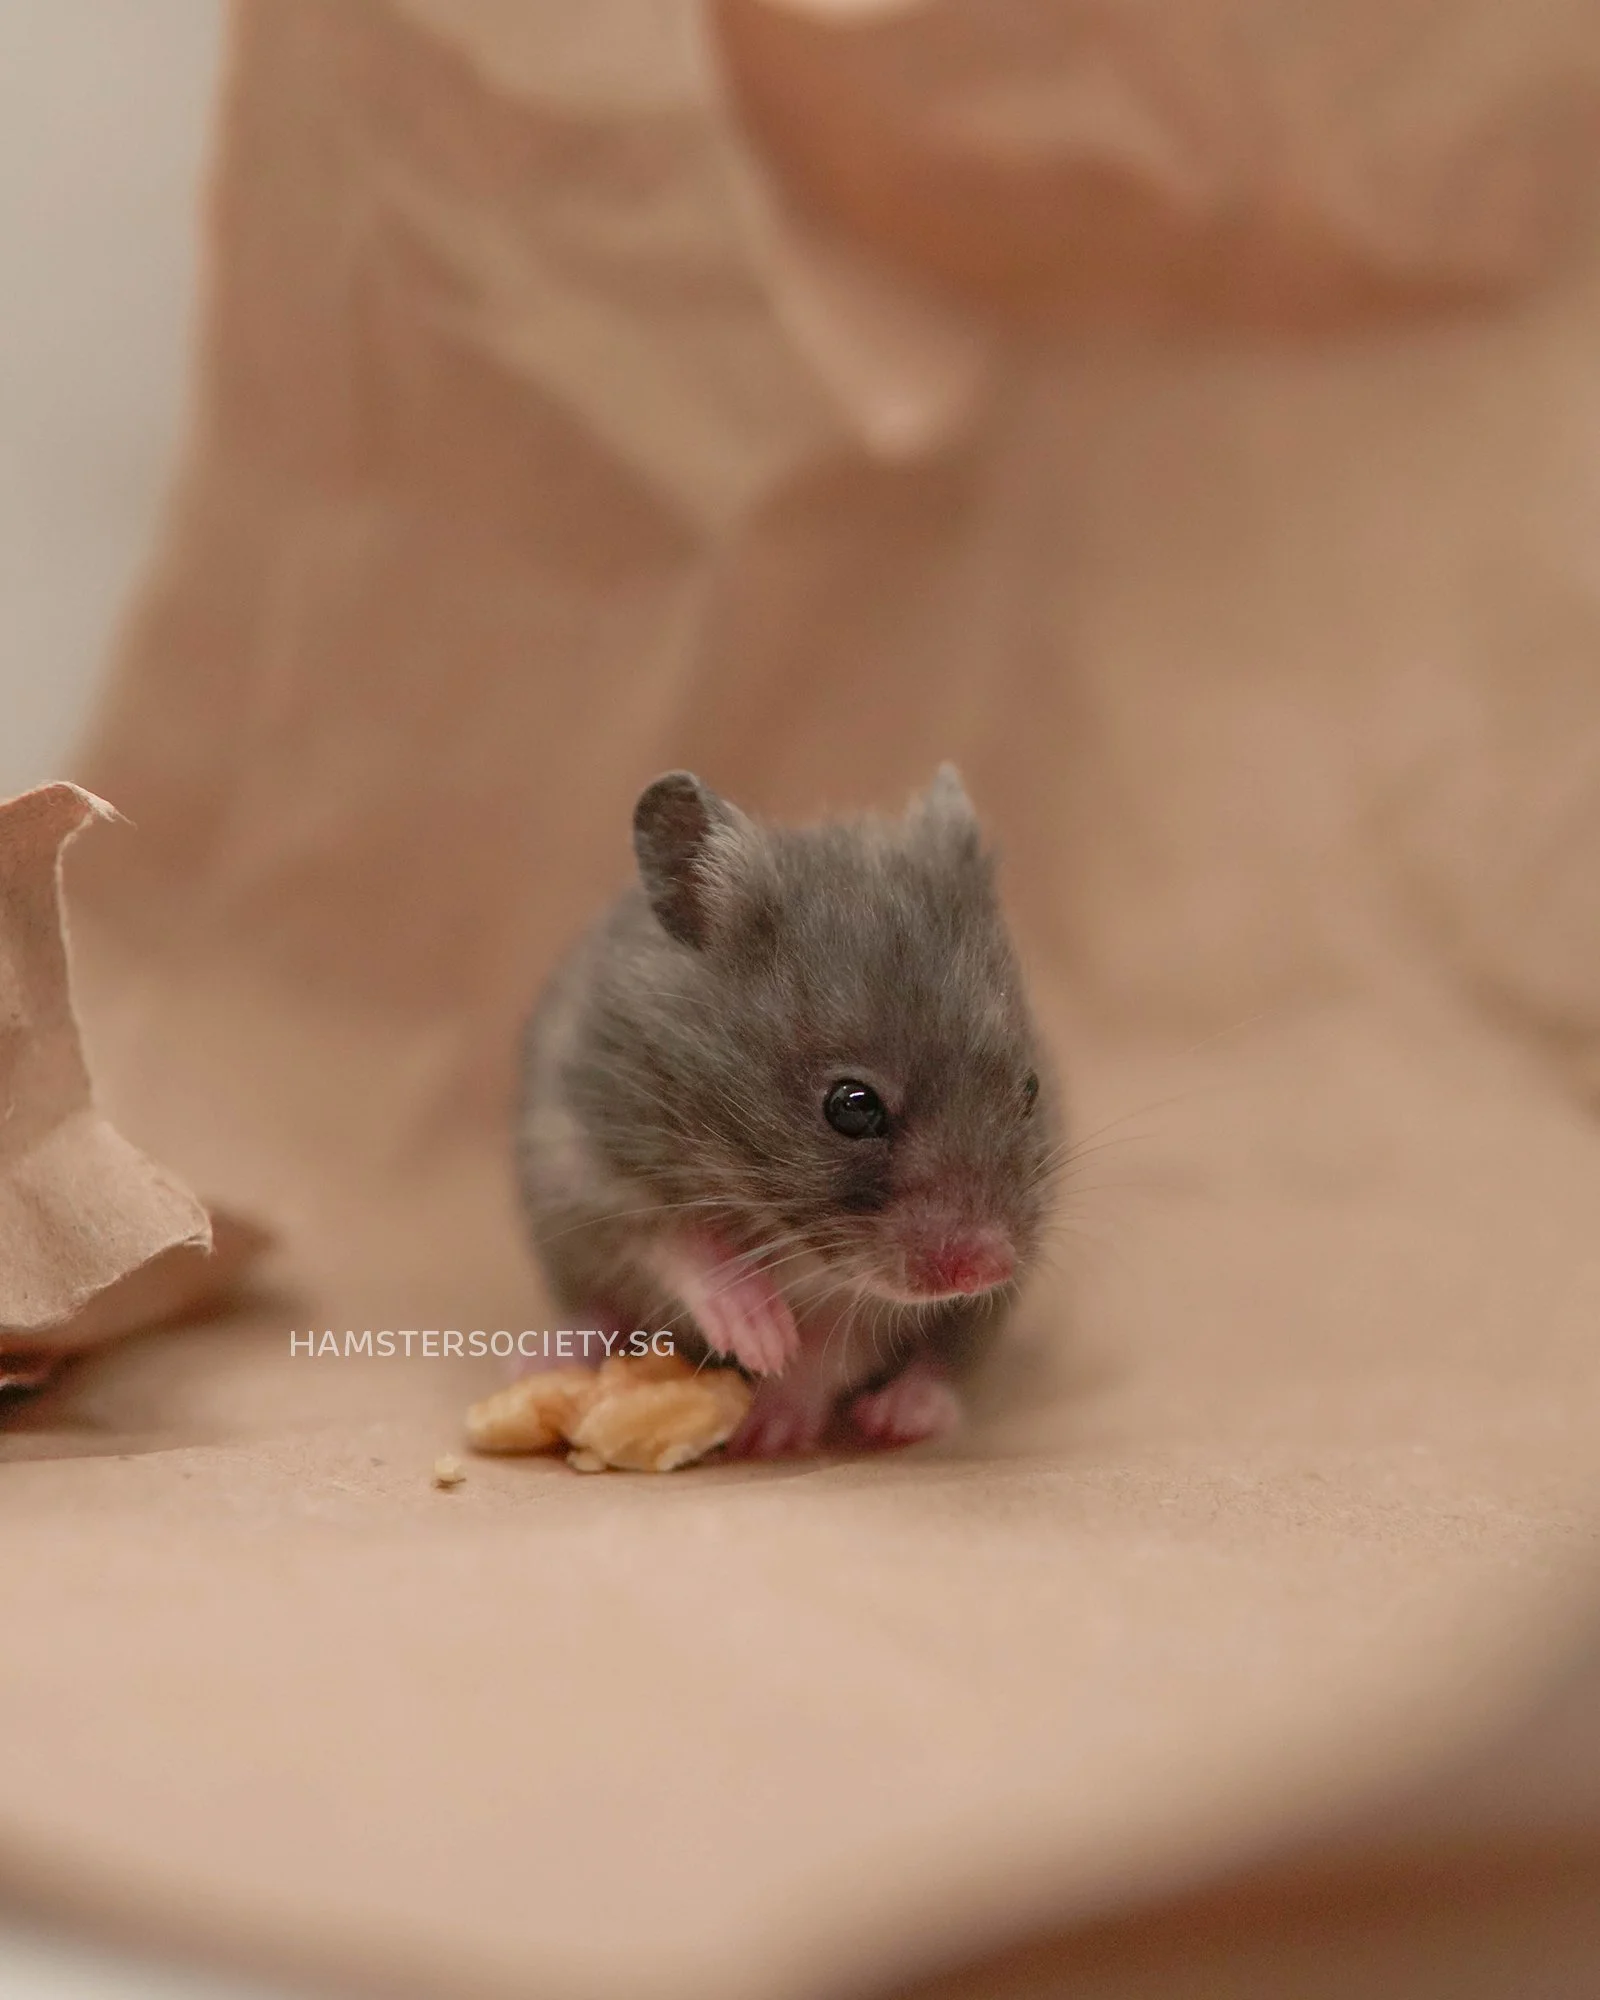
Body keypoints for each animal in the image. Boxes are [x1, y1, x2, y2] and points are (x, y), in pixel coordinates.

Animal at [516, 766, 1061, 1458]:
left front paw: (765, 1424)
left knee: (943, 1360)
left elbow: (840, 1346)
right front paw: (760, 1335)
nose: (989, 1269)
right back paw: (542, 1360)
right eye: (851, 1107)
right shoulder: (593, 1163)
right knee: (600, 1306)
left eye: (1031, 1088)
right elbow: (676, 1240)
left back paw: (901, 1413)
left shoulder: (881, 1306)